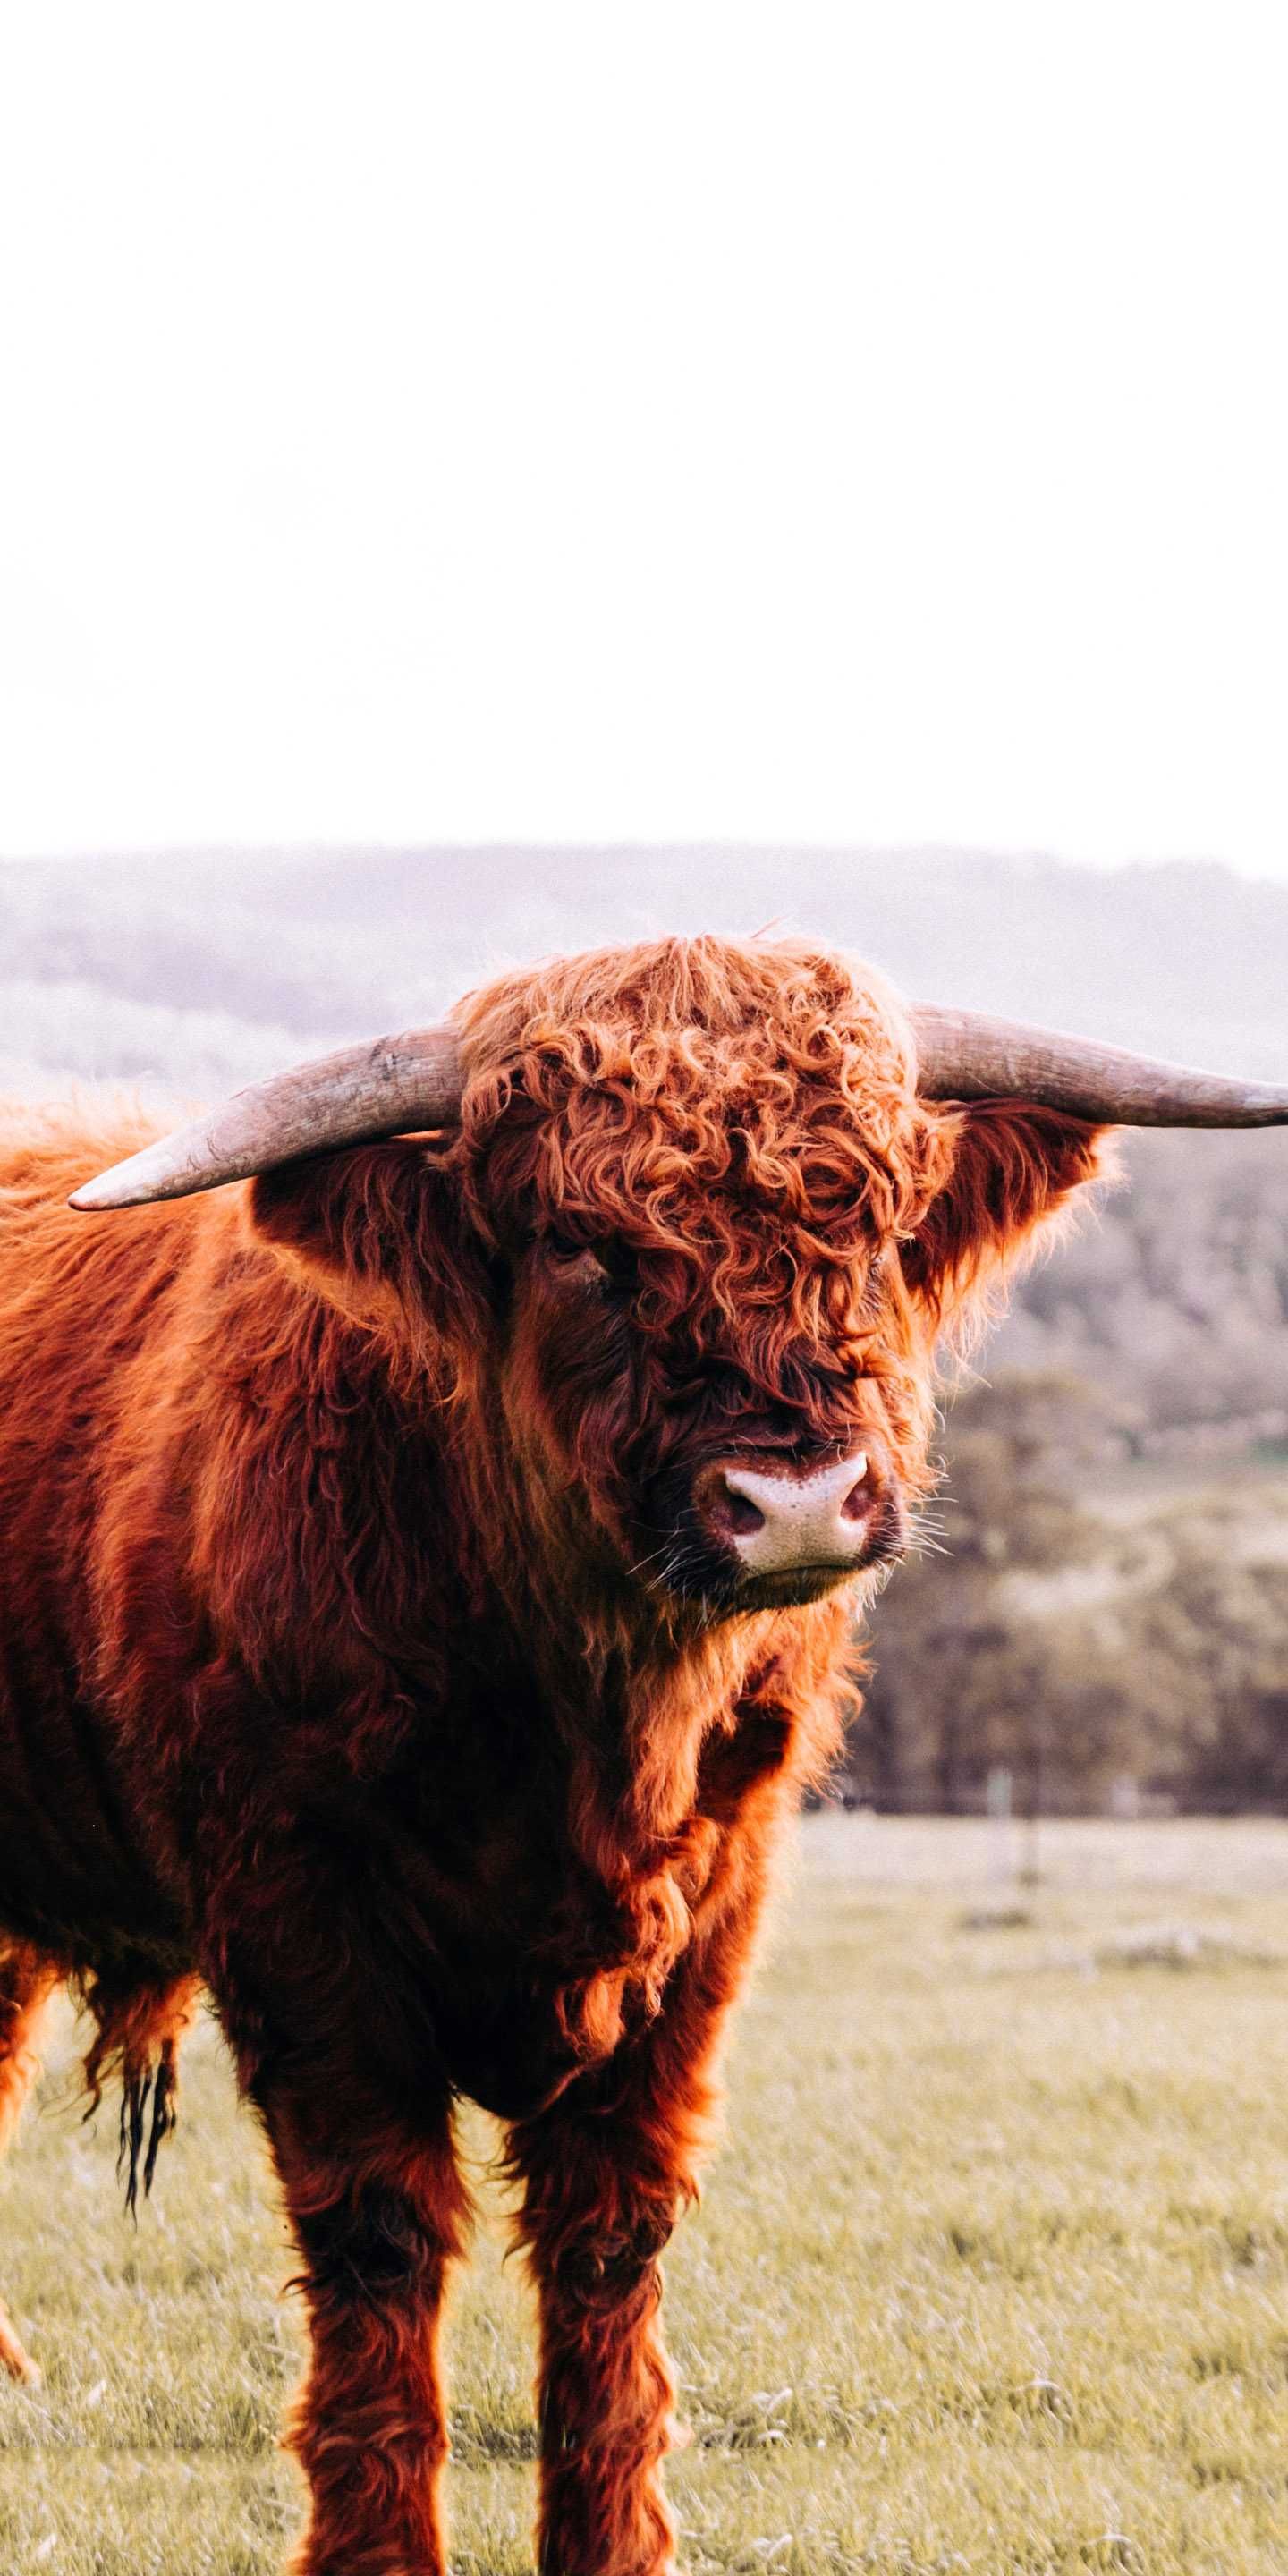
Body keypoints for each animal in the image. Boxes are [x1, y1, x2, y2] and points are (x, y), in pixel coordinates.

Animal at [1, 934, 1283, 2576]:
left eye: (879, 1226)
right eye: (580, 1248)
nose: (795, 1498)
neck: (586, 1727)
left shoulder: (705, 1930)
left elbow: (611, 2249)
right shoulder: (302, 1932)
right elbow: (378, 2245)